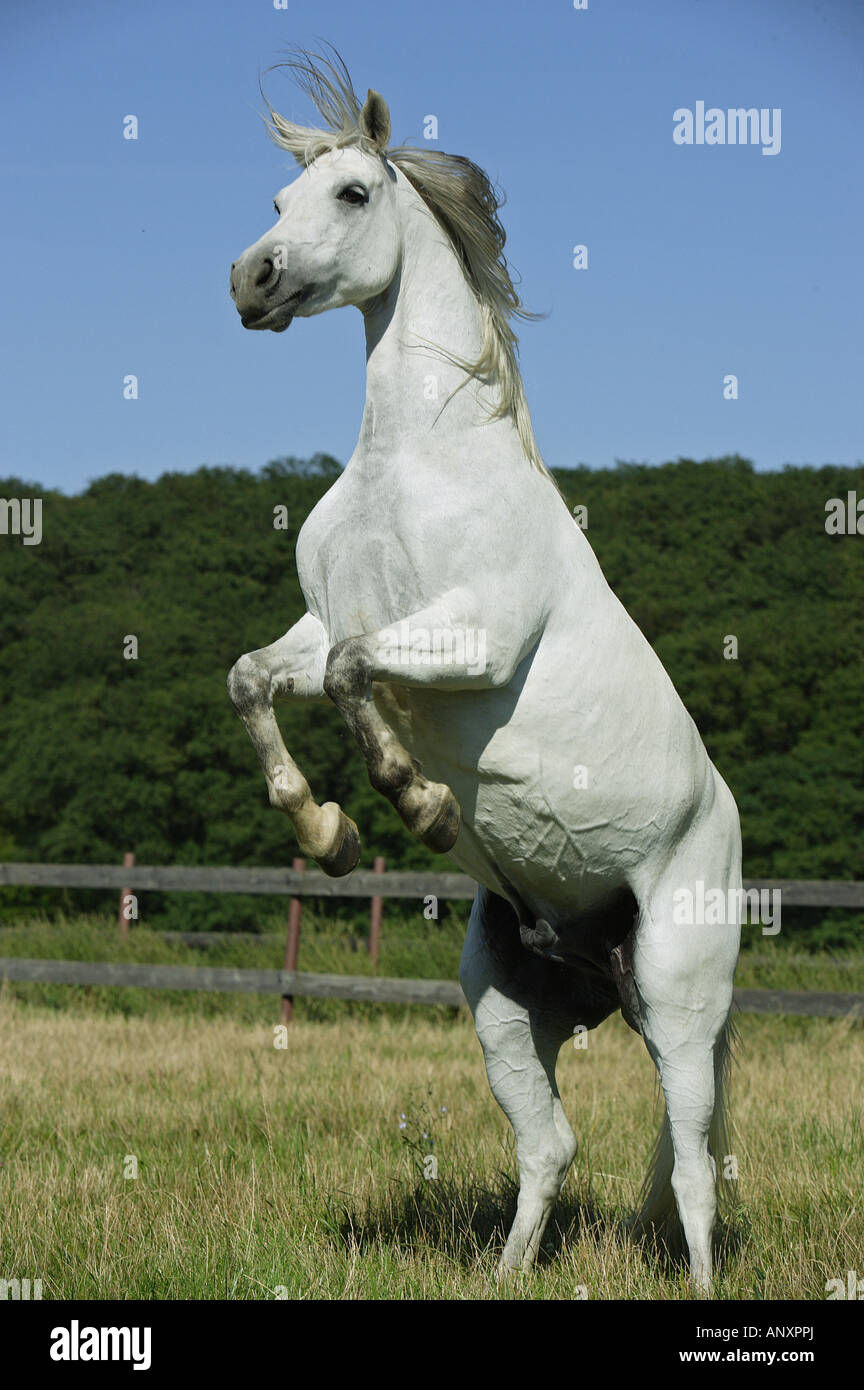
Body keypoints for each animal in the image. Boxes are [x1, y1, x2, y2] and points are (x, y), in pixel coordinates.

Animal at [227, 50, 742, 1292]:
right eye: (278, 199)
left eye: (351, 193)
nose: (251, 280)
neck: (416, 460)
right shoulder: (321, 628)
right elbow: (257, 678)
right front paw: (326, 832)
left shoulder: (470, 638)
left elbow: (357, 677)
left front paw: (412, 804)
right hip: (506, 1006)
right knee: (550, 1144)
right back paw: (507, 1272)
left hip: (684, 999)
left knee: (694, 1164)